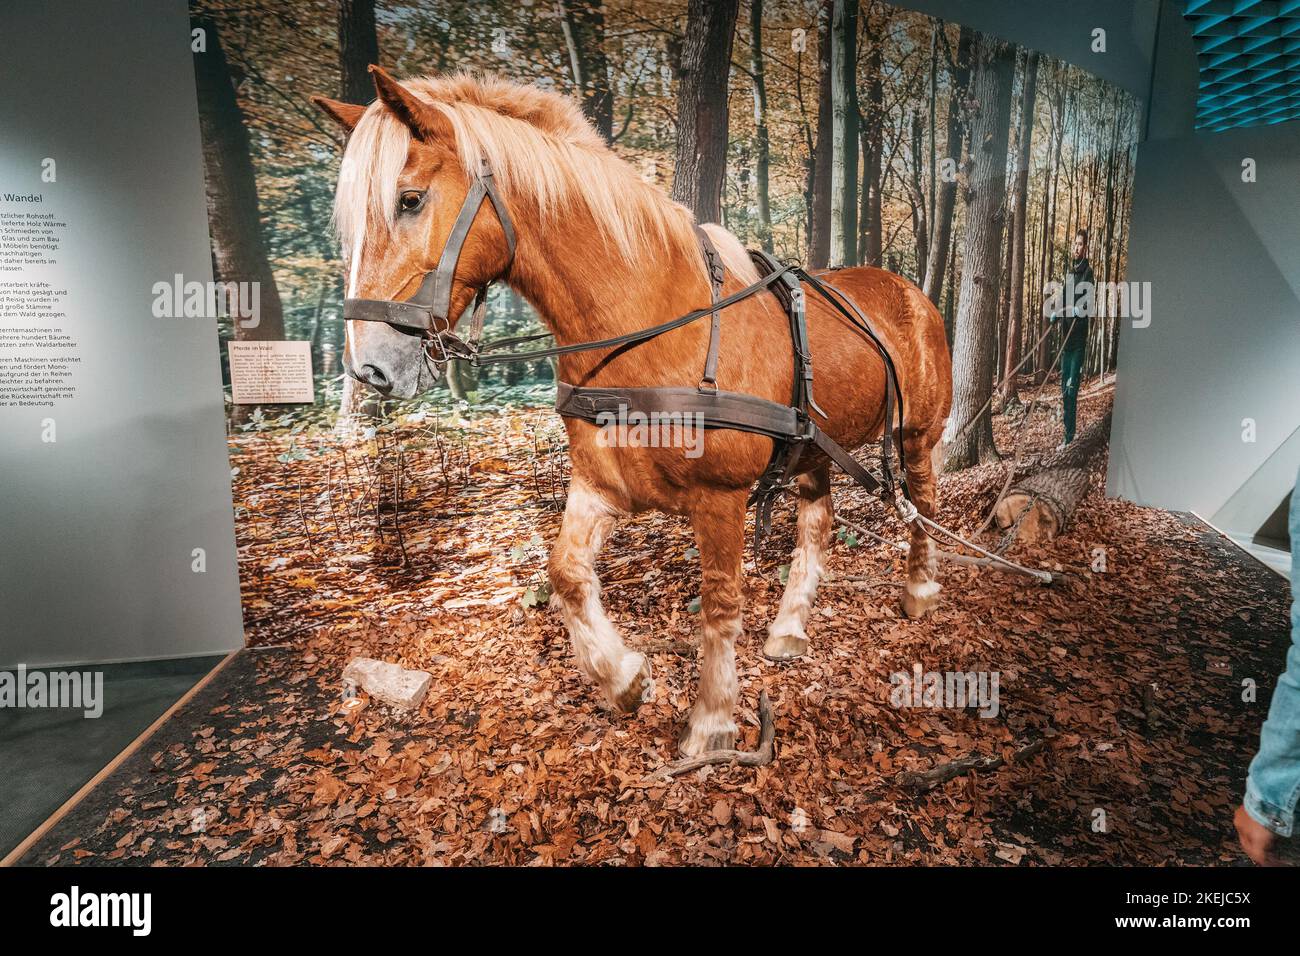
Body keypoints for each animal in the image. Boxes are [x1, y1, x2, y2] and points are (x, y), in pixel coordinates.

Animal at [311, 67, 952, 758]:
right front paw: (621, 677)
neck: (650, 324)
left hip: (918, 434)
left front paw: (712, 720)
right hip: (812, 446)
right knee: (816, 523)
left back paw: (919, 589)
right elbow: (566, 572)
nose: (369, 368)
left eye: (409, 200)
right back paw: (789, 627)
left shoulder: (721, 498)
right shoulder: (602, 482)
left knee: (921, 500)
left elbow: (720, 603)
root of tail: (911, 291)